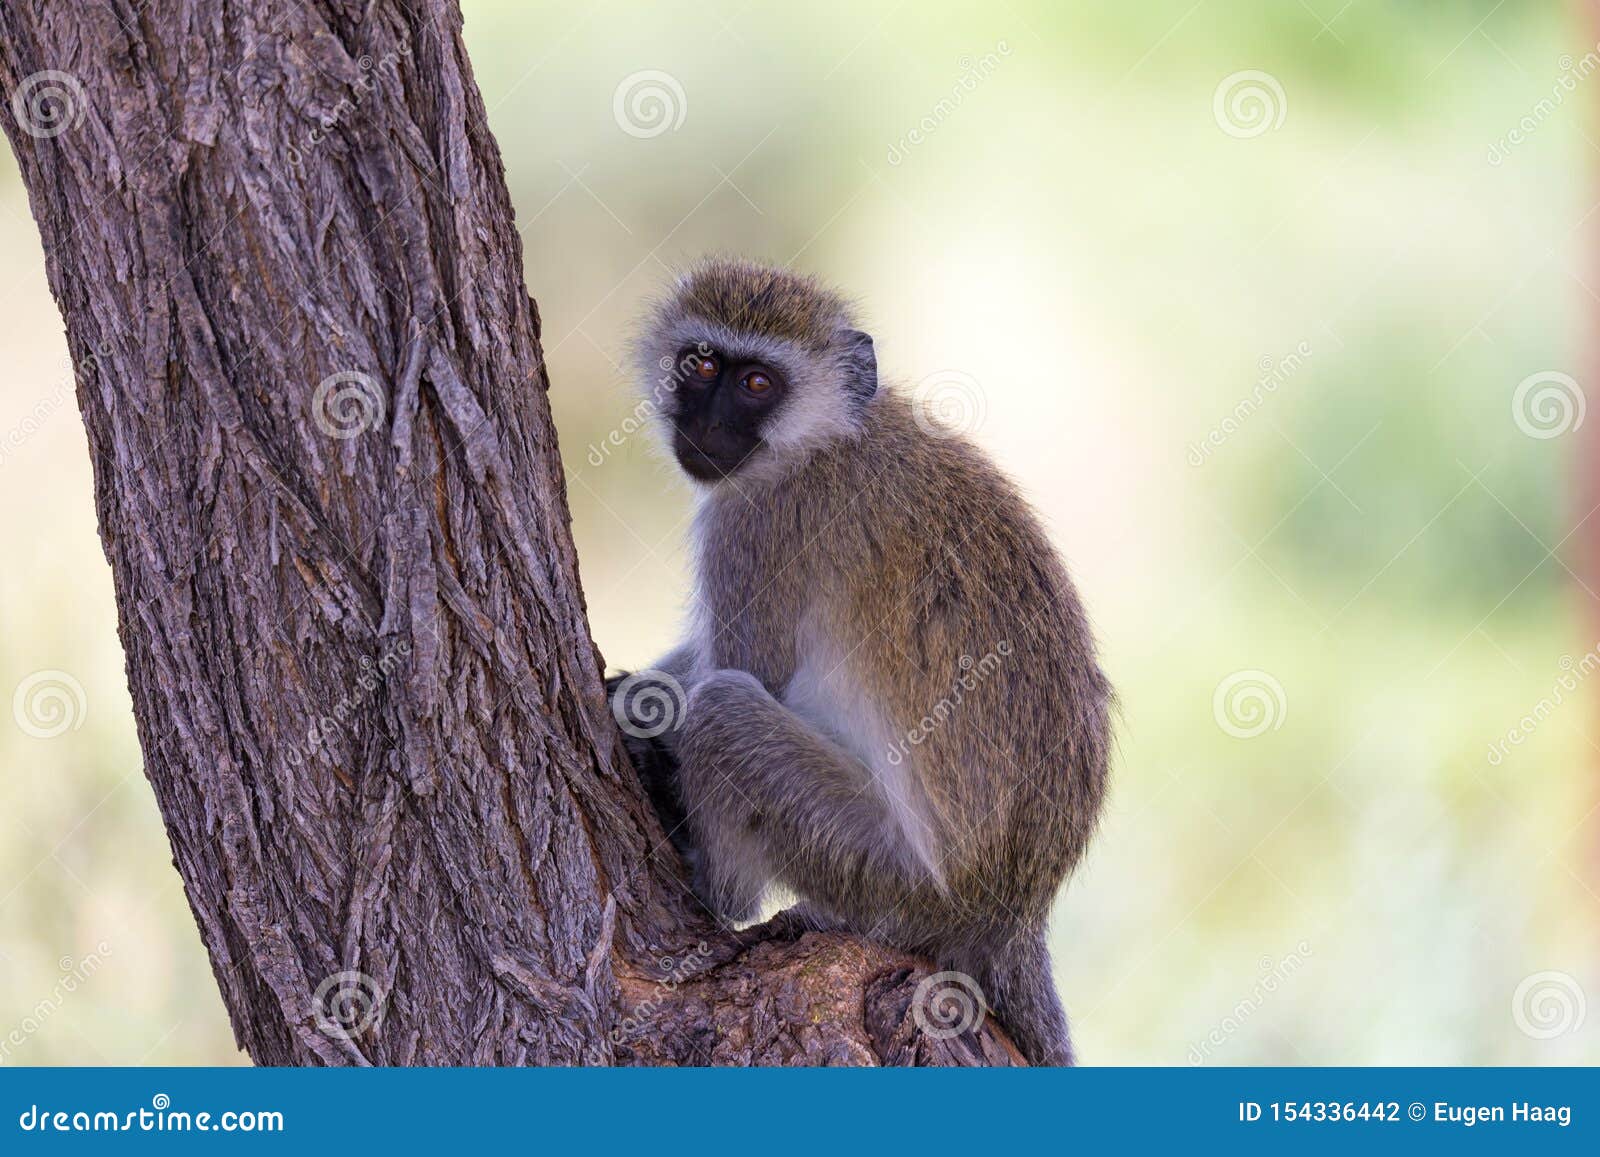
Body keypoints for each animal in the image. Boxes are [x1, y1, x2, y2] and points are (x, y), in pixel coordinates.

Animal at [605, 257, 1112, 1066]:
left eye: (757, 383)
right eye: (701, 364)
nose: (705, 426)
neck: (826, 438)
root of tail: (1013, 907)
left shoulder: (758, 523)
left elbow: (747, 668)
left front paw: (641, 718)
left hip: (880, 870)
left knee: (725, 710)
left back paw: (712, 885)